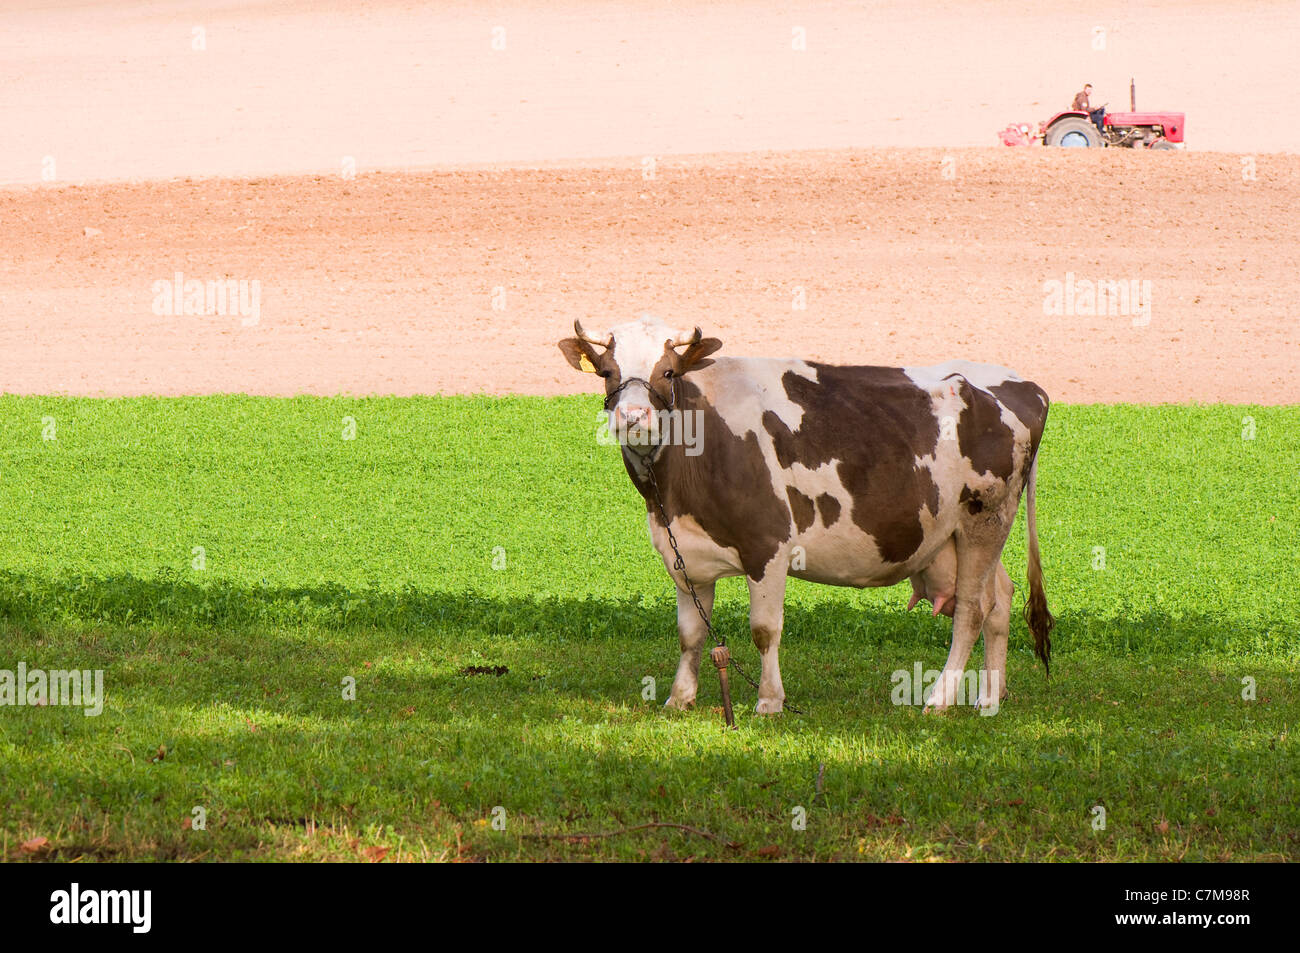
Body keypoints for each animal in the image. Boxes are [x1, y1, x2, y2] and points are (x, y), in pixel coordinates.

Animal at [558, 315, 1054, 714]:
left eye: (667, 371)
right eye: (607, 372)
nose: (632, 417)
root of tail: (1024, 385)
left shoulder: (768, 544)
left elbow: (764, 629)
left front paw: (769, 702)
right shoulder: (681, 553)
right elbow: (691, 633)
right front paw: (679, 699)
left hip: (985, 520)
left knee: (971, 609)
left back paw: (941, 698)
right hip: (958, 535)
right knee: (1000, 599)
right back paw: (989, 697)